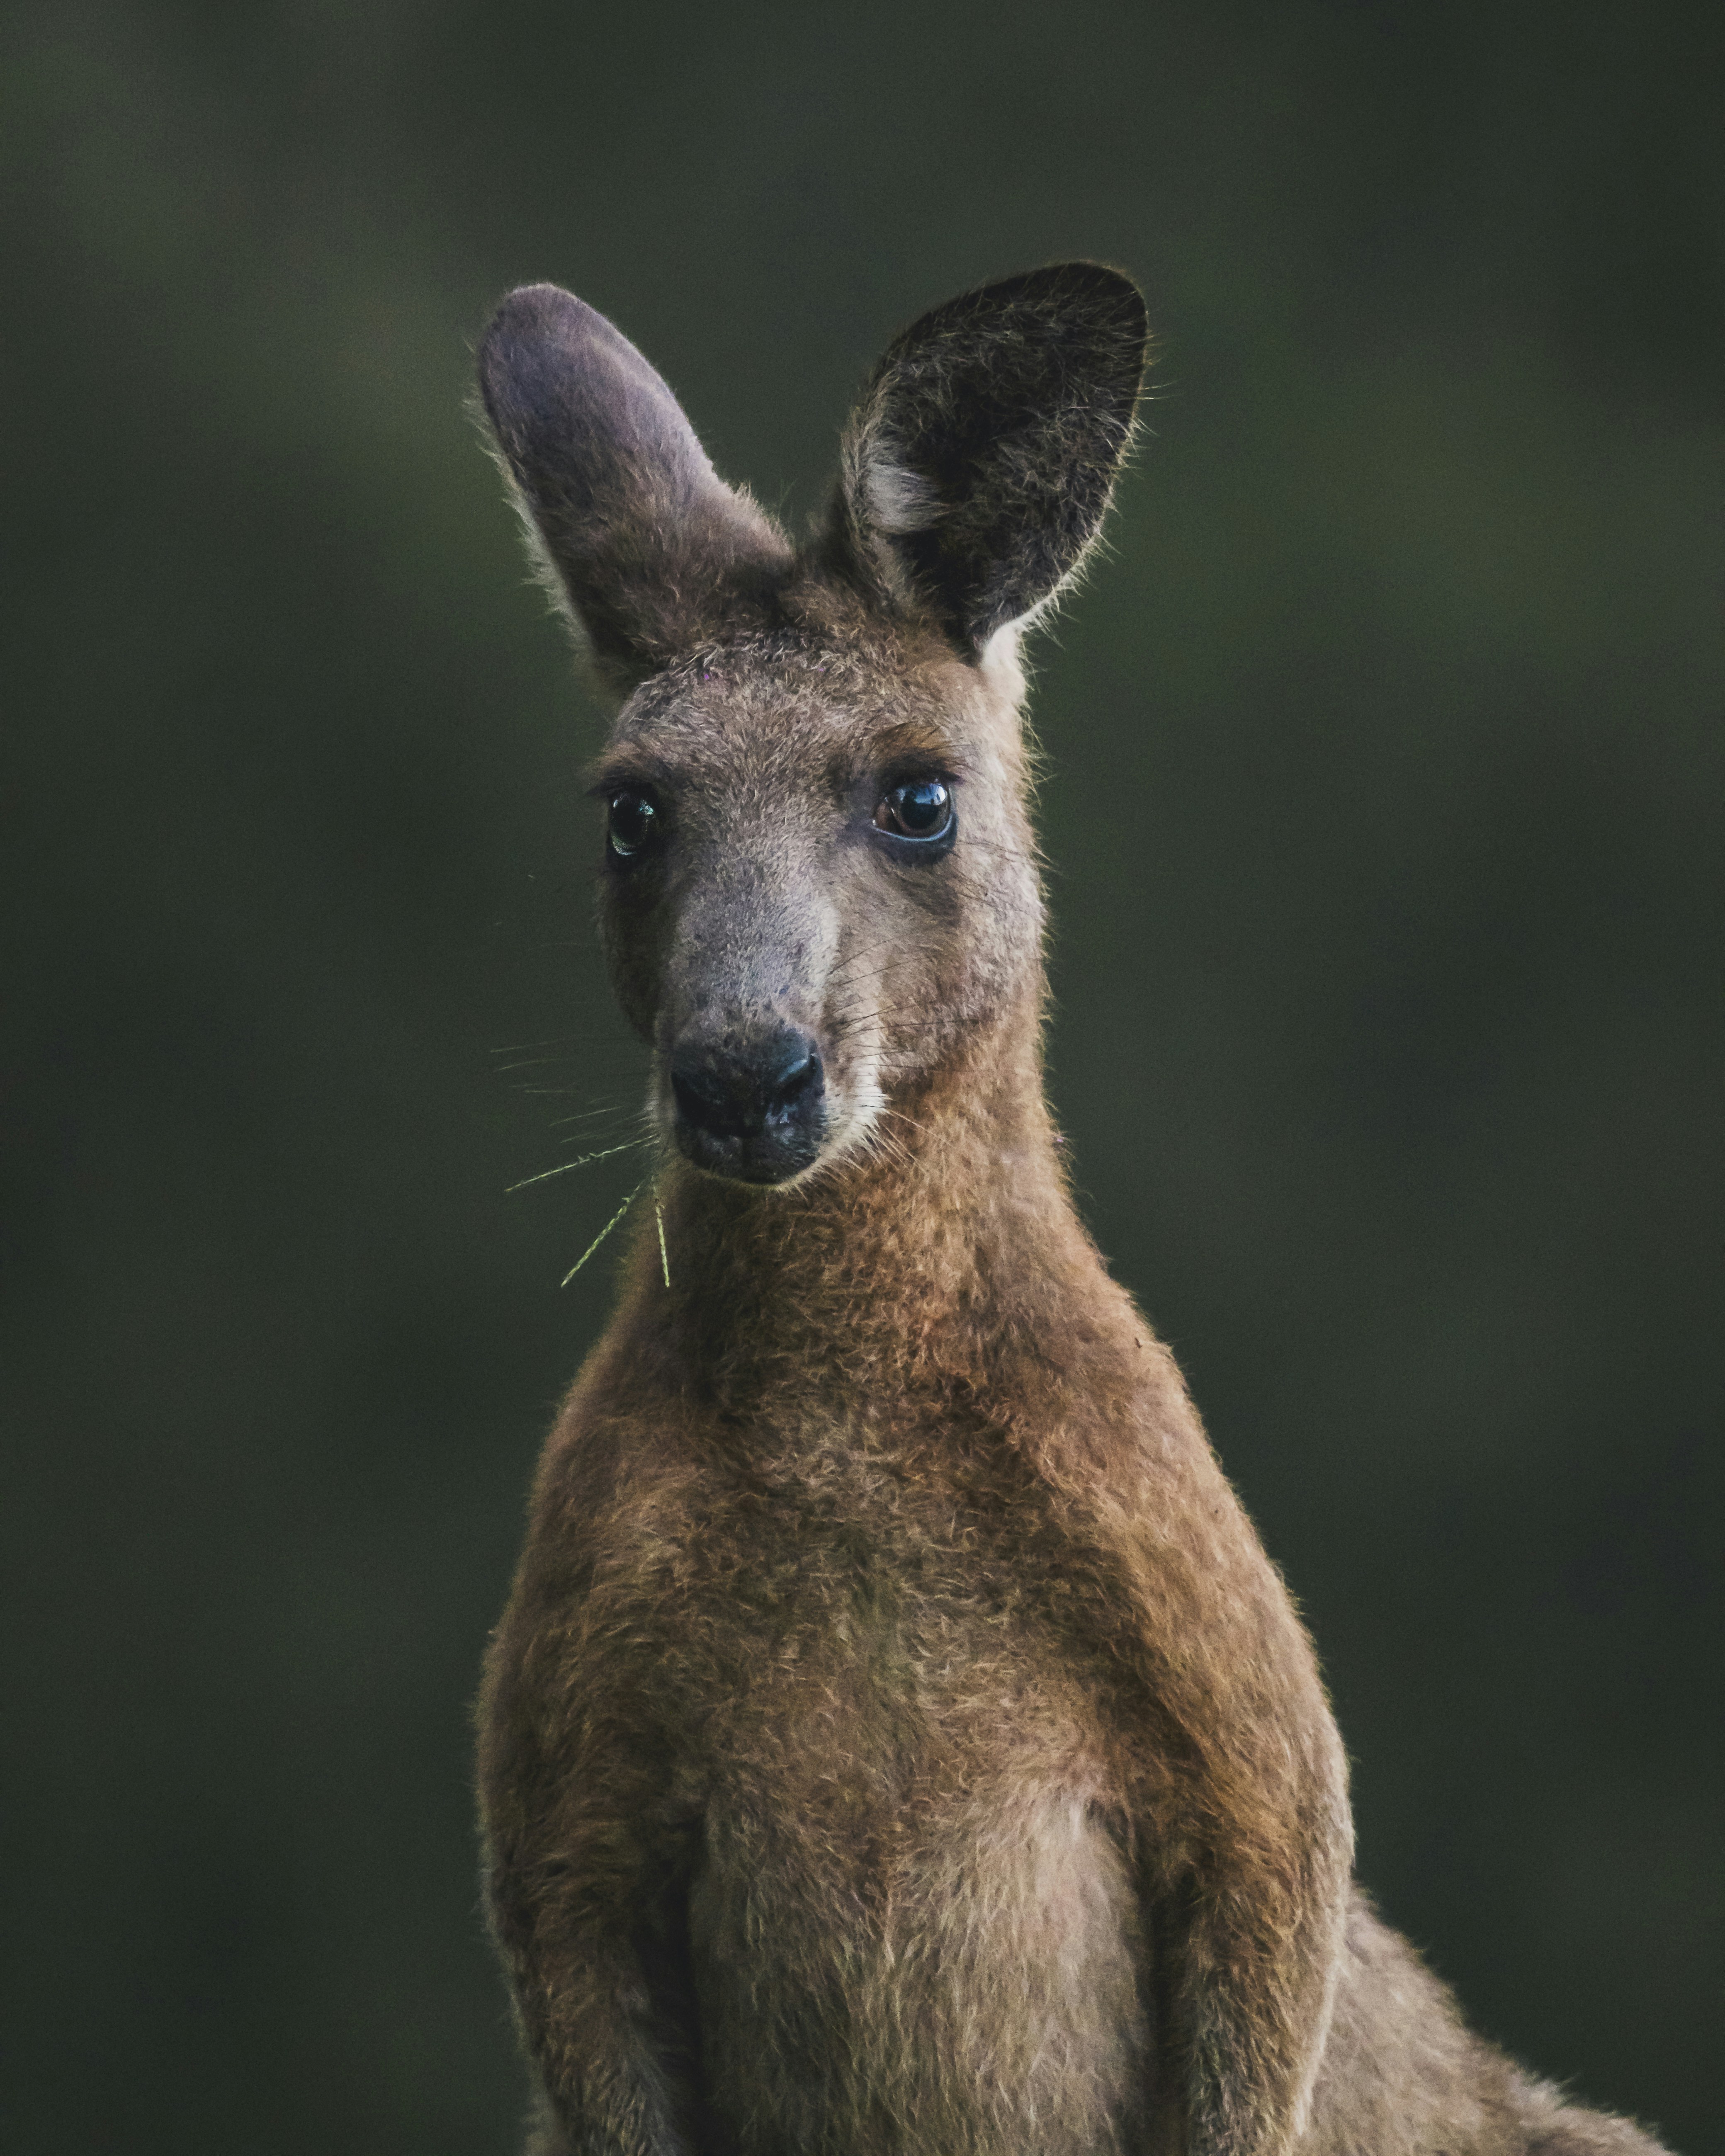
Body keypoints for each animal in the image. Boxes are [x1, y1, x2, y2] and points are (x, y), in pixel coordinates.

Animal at [472, 265, 1669, 2156]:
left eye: (918, 798)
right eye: (629, 815)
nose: (744, 1078)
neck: (842, 1400)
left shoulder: (1251, 1752)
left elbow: (1270, 1960)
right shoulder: (559, 1814)